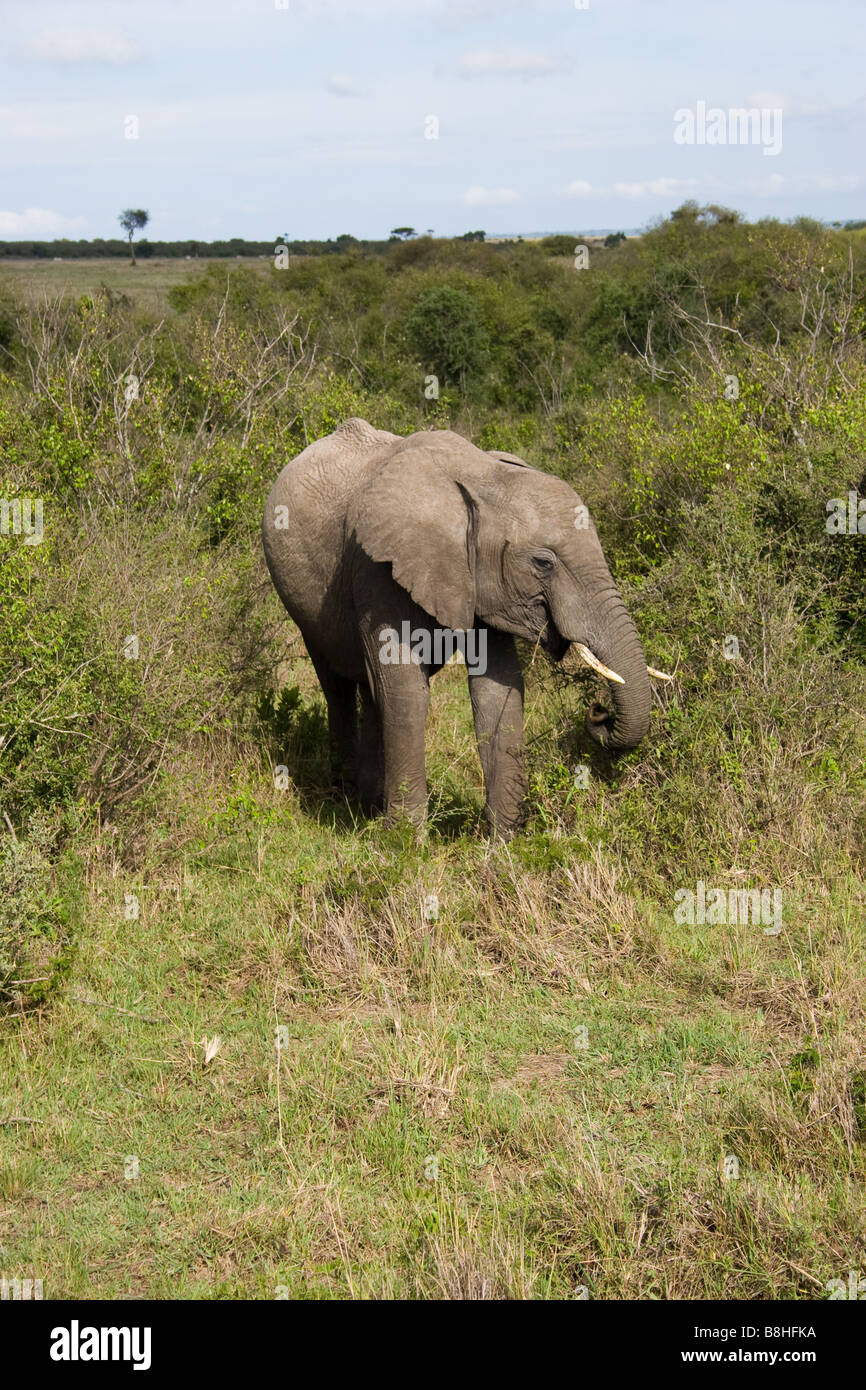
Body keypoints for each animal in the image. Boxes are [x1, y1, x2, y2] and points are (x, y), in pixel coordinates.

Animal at [262, 417, 666, 837]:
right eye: (543, 563)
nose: (598, 713)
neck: (483, 478)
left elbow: (497, 689)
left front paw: (504, 839)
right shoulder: (377, 565)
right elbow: (406, 691)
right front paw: (406, 841)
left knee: (373, 690)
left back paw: (370, 804)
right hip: (303, 604)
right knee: (338, 684)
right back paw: (344, 796)